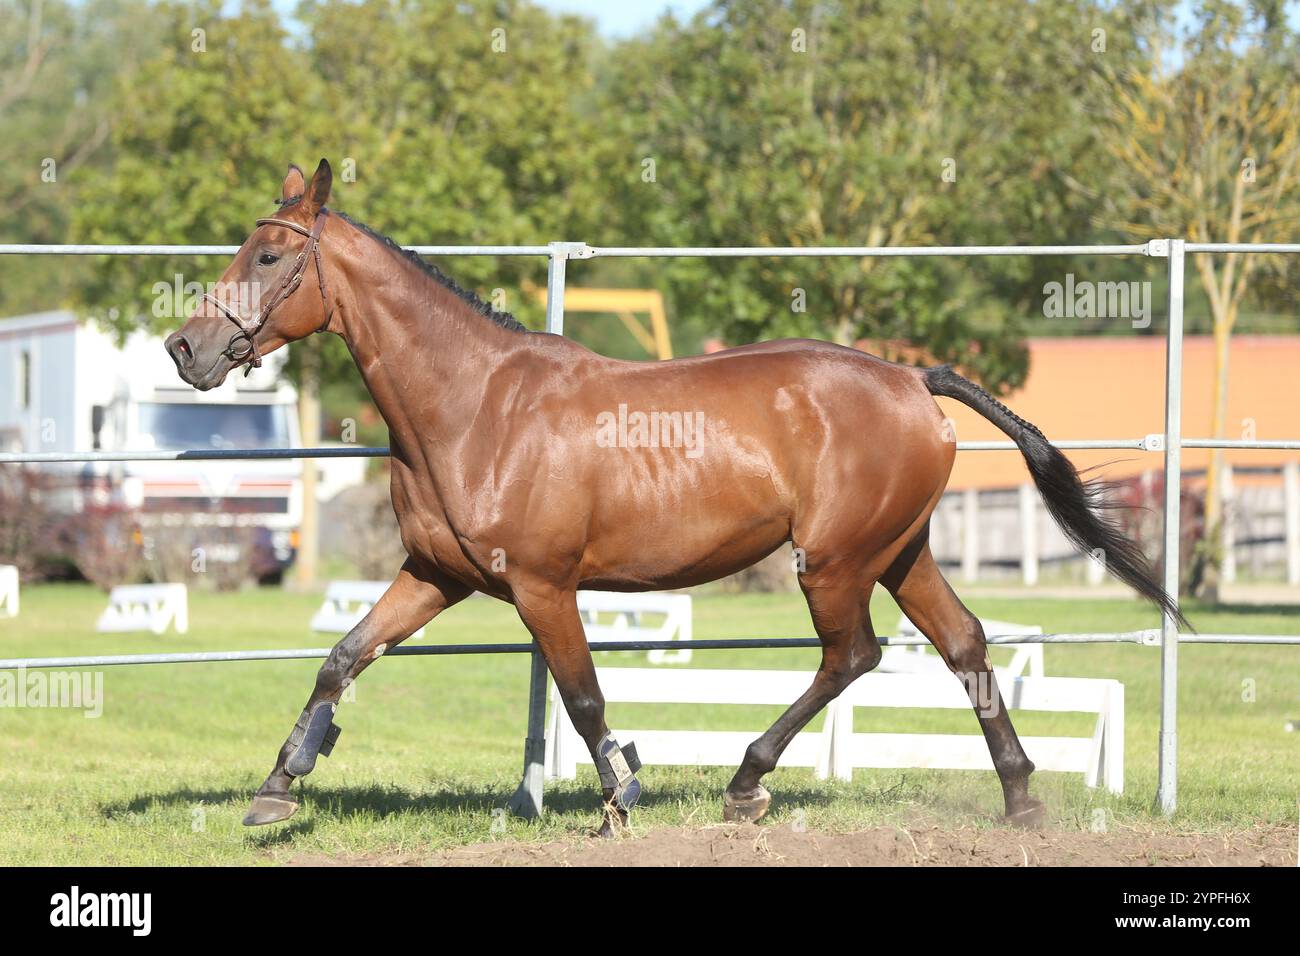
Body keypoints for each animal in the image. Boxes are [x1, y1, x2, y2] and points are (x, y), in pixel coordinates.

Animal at [165, 159, 1181, 834]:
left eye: (268, 256)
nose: (185, 348)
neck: (474, 404)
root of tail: (910, 379)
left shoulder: (543, 586)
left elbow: (583, 699)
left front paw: (621, 794)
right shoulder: (435, 575)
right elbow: (342, 657)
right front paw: (277, 786)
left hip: (837, 561)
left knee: (851, 655)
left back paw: (747, 781)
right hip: (899, 551)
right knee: (964, 644)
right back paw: (1020, 797)